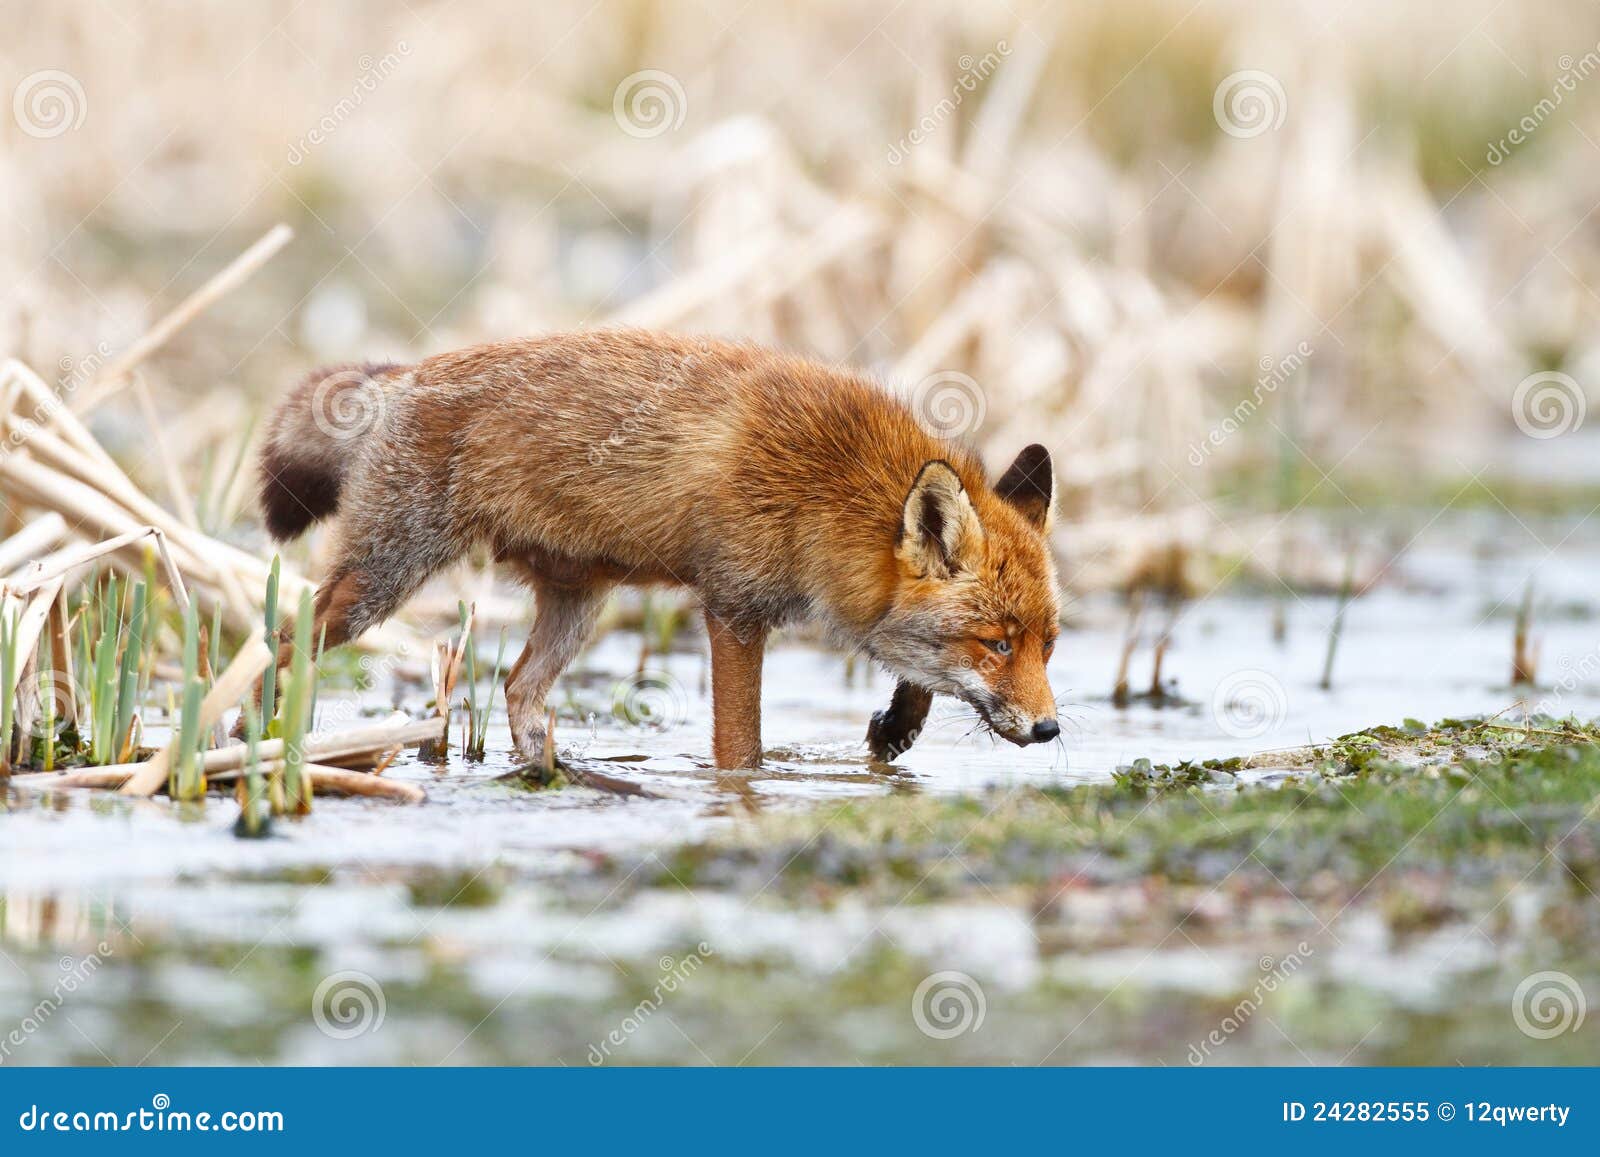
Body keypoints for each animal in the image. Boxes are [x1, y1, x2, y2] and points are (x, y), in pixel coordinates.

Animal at [254, 329, 1062, 769]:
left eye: (1046, 646)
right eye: (996, 643)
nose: (1051, 728)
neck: (827, 486)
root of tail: (406, 374)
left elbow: (913, 663)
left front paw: (897, 723)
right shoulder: (733, 609)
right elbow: (741, 749)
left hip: (576, 605)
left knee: (518, 689)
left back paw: (547, 774)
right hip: (381, 580)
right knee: (281, 642)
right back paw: (251, 744)